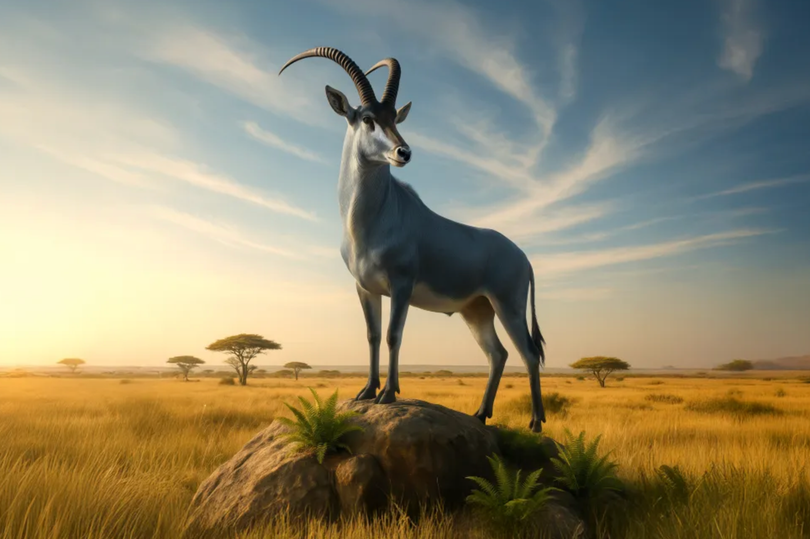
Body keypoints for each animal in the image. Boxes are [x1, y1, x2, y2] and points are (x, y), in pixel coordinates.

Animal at [279, 47, 547, 432]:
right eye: (367, 118)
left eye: (395, 117)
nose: (403, 152)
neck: (372, 220)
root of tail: (523, 257)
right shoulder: (366, 288)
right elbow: (373, 335)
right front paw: (367, 391)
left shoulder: (401, 286)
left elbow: (394, 335)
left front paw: (388, 394)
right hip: (477, 311)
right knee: (498, 353)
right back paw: (480, 414)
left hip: (507, 305)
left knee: (528, 352)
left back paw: (536, 423)